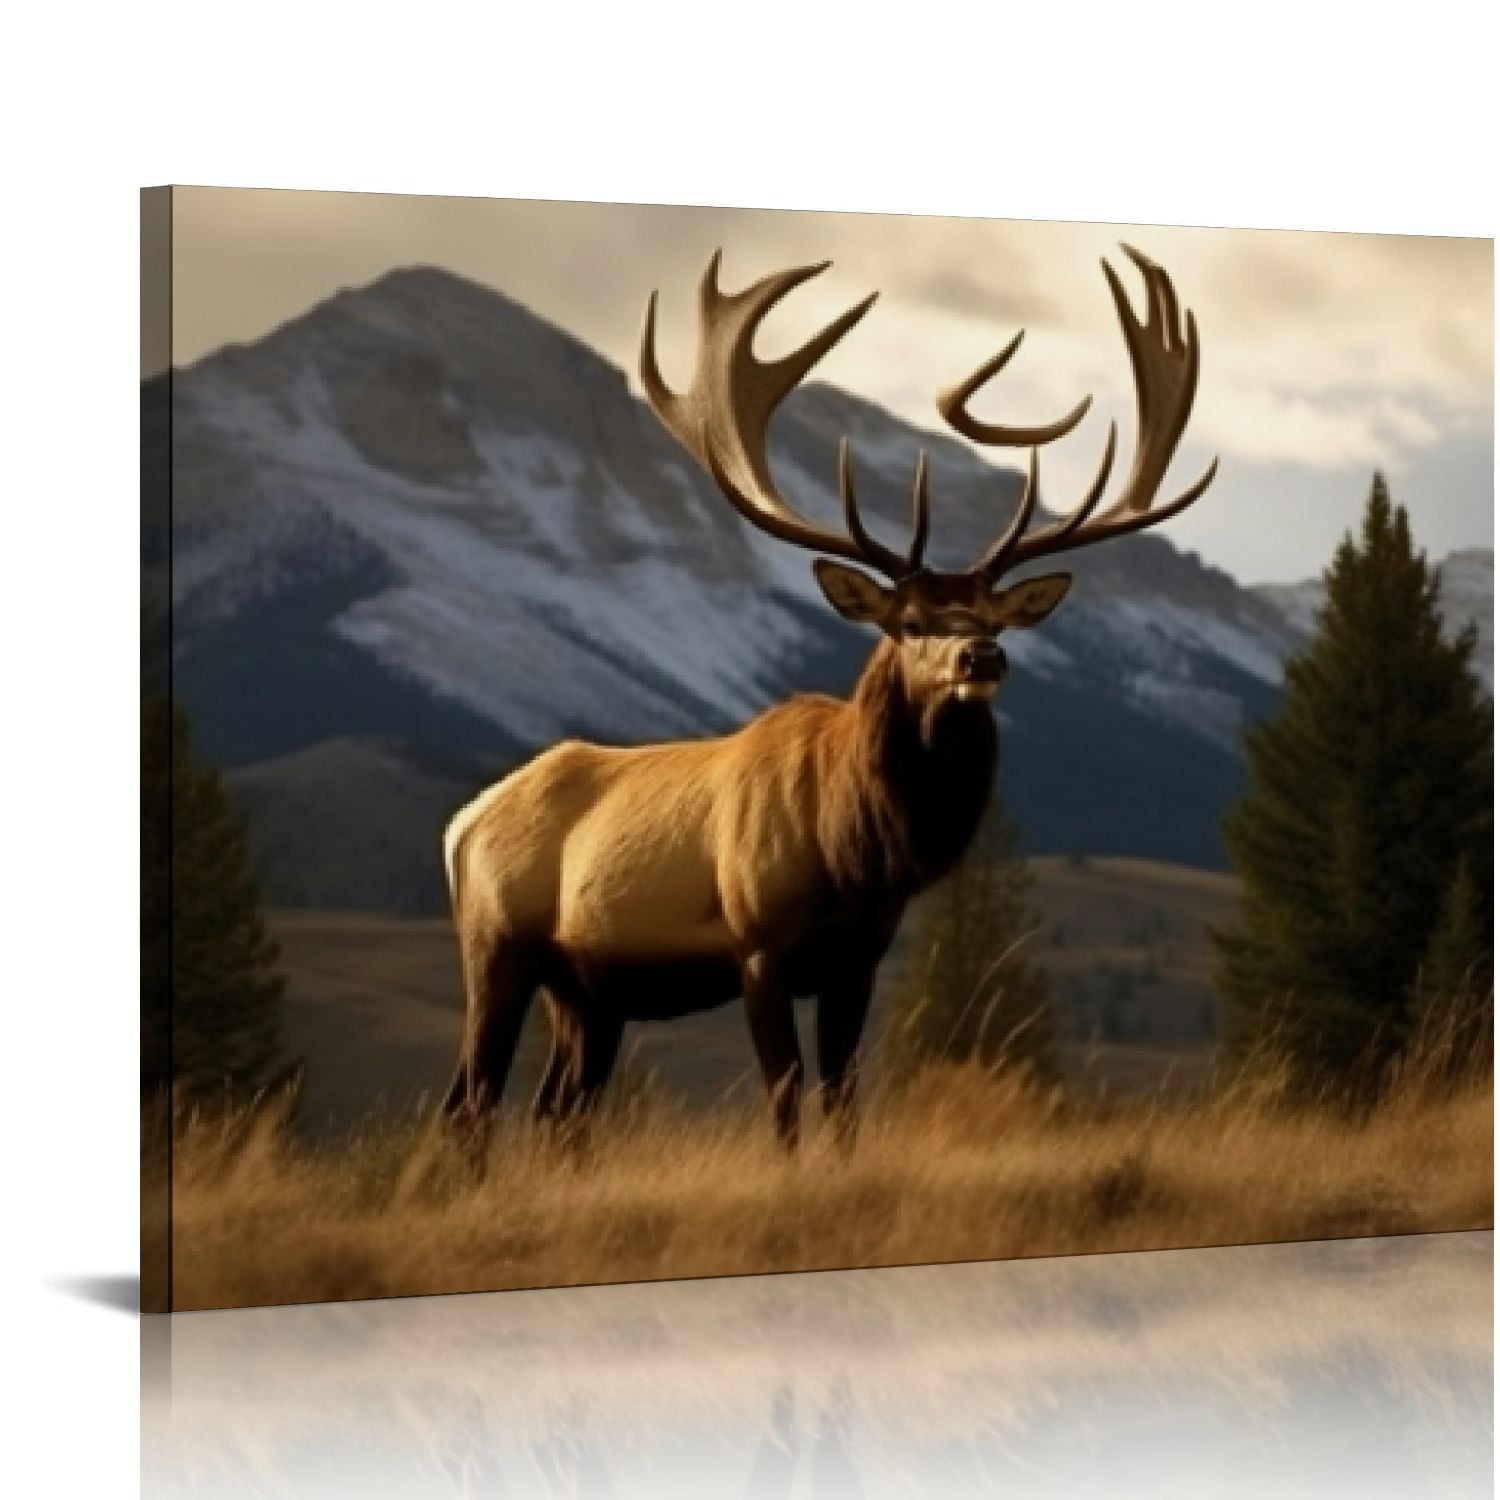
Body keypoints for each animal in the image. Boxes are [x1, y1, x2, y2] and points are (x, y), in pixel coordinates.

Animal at [441, 245, 1218, 1150]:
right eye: (909, 621)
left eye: (997, 617)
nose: (981, 653)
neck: (855, 854)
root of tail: (462, 825)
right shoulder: (757, 942)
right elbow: (784, 1095)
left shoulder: (856, 959)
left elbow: (845, 1095)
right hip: (497, 946)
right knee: (470, 1100)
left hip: (591, 990)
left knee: (555, 1110)